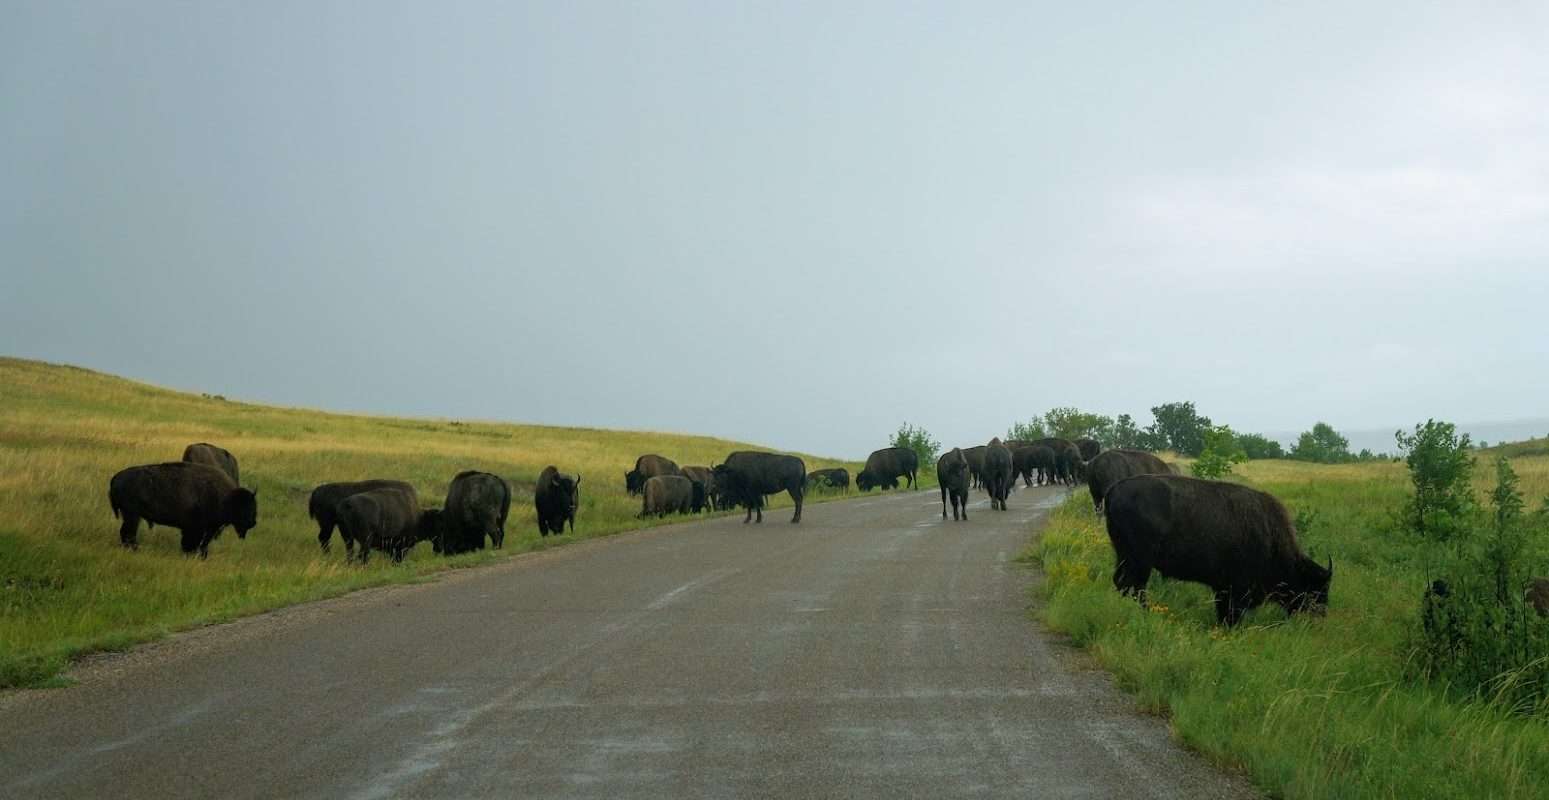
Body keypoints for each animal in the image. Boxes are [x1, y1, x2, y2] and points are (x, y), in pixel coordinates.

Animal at [109, 462, 257, 558]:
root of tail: (115, 478)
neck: (227, 497)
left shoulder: (206, 529)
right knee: (128, 533)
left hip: (130, 516)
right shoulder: (196, 529)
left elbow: (201, 543)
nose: (252, 522)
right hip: (132, 515)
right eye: (244, 507)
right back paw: (135, 549)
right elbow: (192, 543)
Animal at [1104, 474, 1333, 626]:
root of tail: (1115, 489)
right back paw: (1147, 613)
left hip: (1124, 555)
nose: (1319, 617)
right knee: (1135, 587)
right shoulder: (1236, 590)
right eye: (1316, 590)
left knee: (1123, 583)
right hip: (1140, 561)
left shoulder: (1222, 588)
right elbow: (1231, 613)